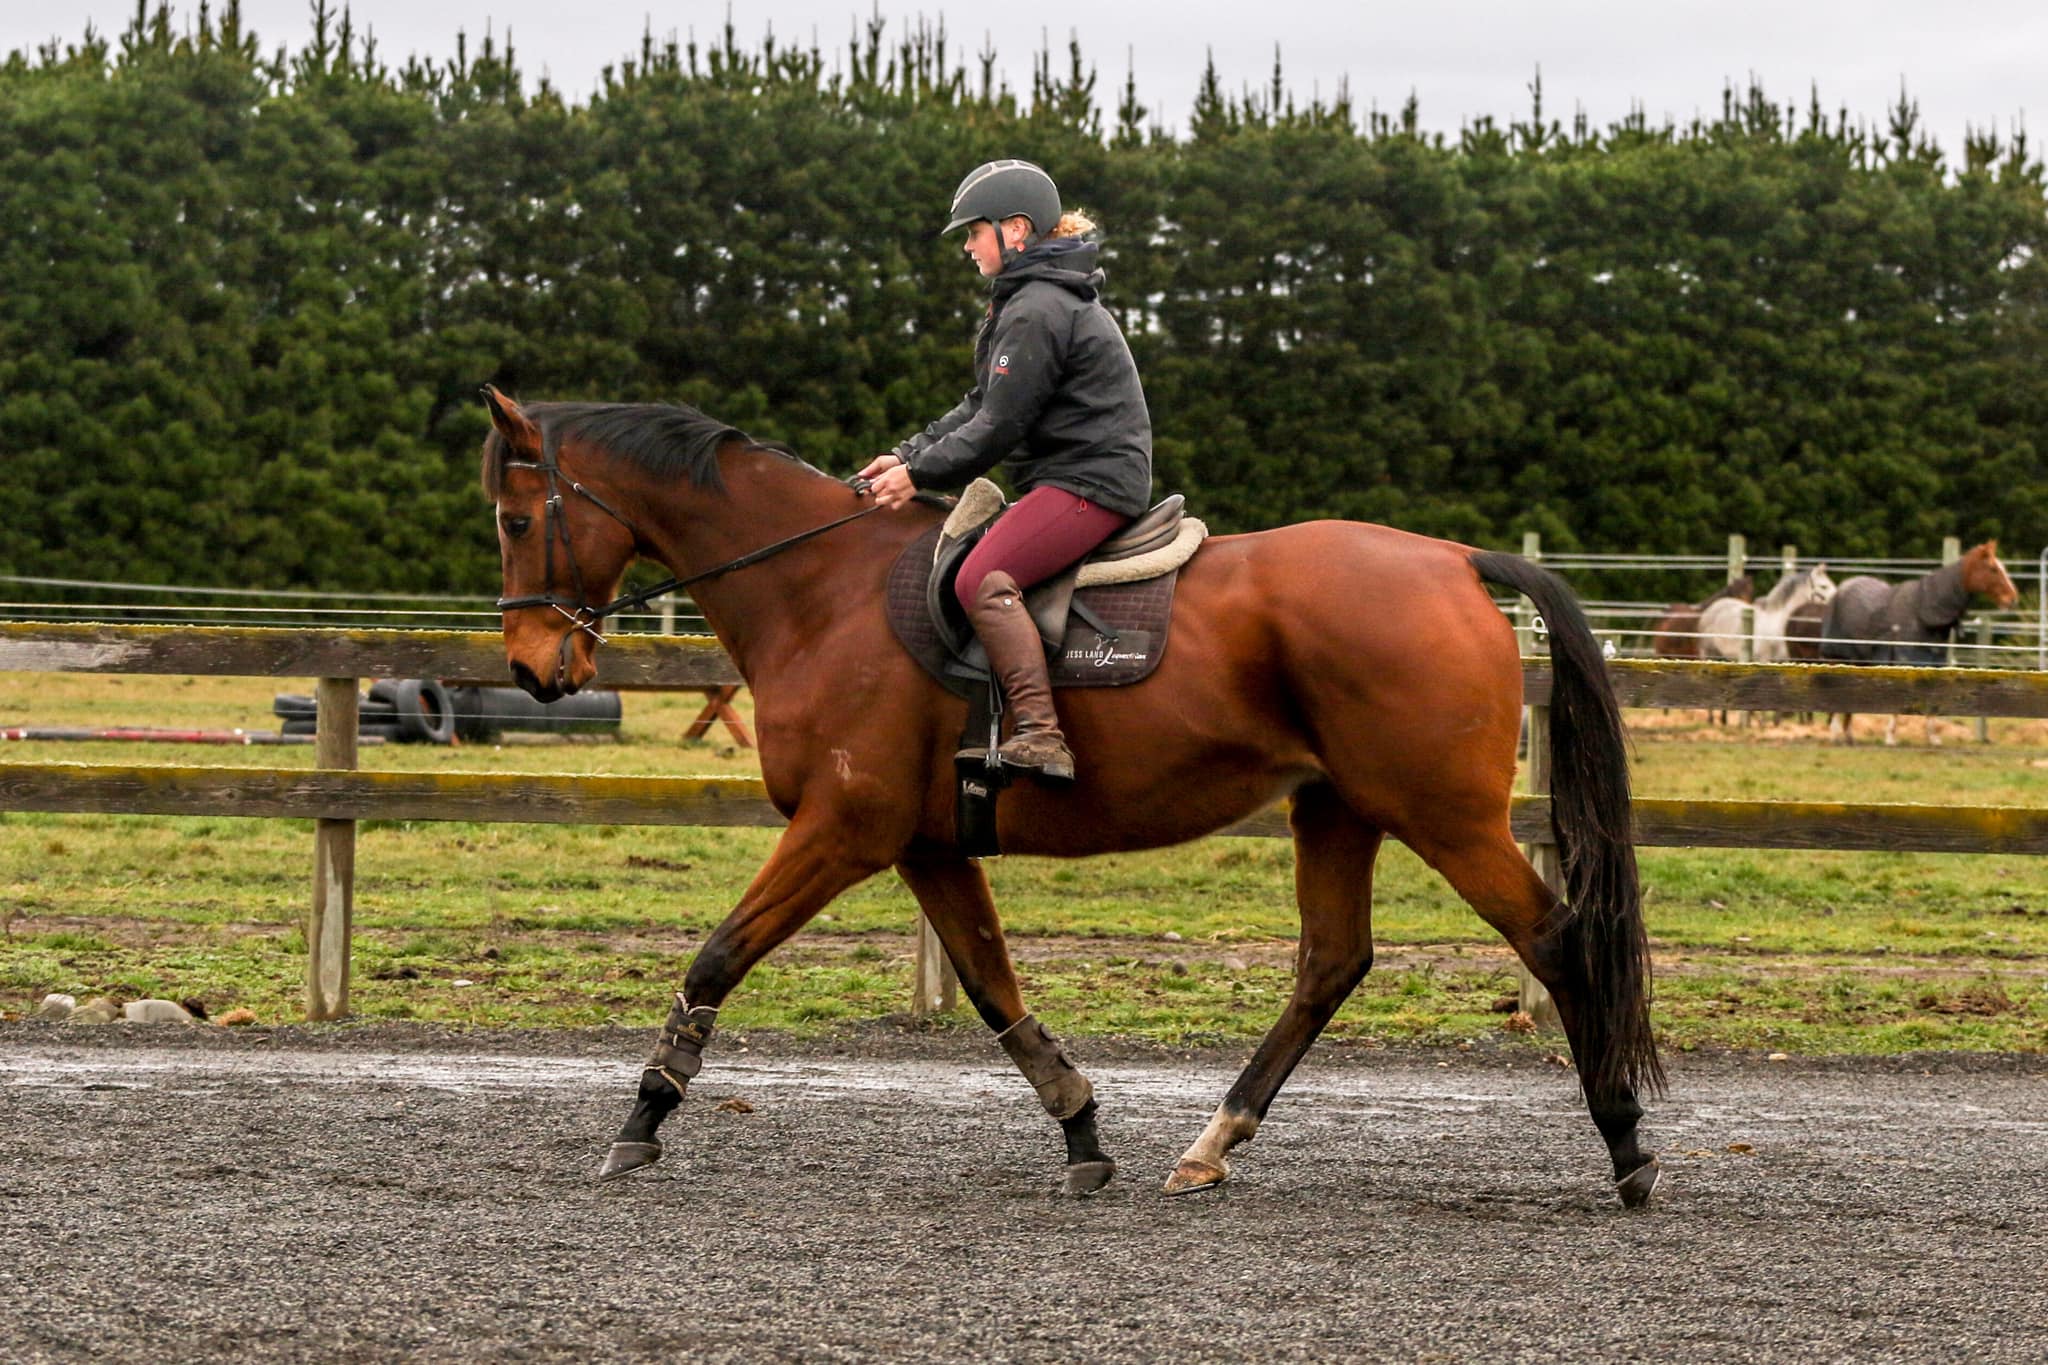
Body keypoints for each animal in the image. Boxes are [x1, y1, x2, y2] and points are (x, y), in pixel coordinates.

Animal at [478, 390, 1664, 1208]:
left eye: (516, 518)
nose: (535, 669)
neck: (820, 592)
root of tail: (1454, 561)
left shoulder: (842, 830)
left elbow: (716, 955)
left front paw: (644, 1115)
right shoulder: (925, 846)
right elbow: (991, 986)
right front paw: (1082, 1131)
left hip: (1441, 816)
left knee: (1552, 938)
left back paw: (1624, 1143)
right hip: (1337, 808)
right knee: (1329, 963)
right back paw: (1211, 1144)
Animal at [1820, 542, 2019, 745]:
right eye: (1993, 569)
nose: (2012, 598)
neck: (1923, 612)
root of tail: (1842, 589)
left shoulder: (1934, 662)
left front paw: (1934, 738)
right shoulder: (1903, 661)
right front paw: (1891, 737)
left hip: (1857, 659)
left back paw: (1848, 736)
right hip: (1837, 657)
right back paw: (1835, 734)